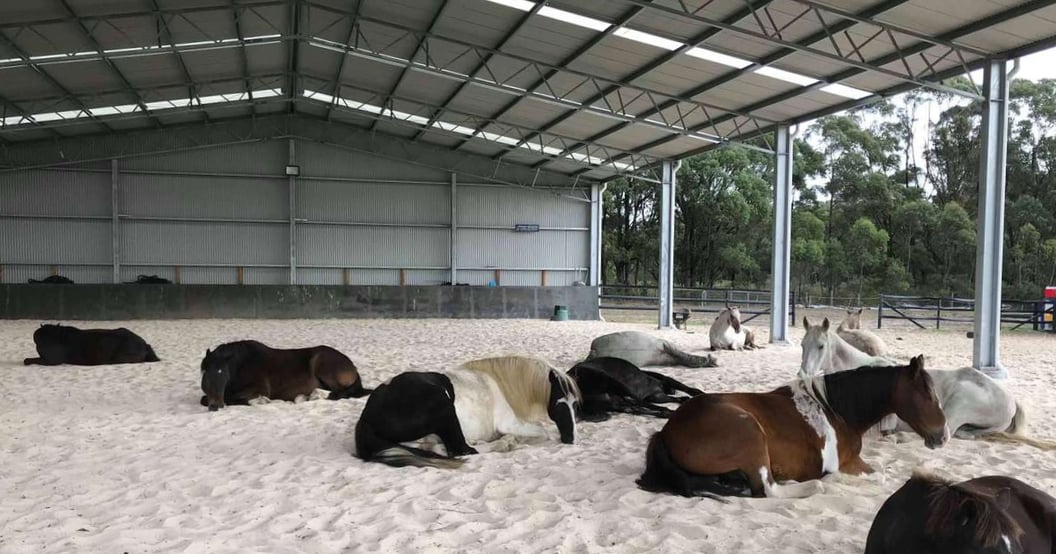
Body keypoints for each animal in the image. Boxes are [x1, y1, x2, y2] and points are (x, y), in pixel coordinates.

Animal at [199, 340, 369, 411]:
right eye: (206, 374)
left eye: (223, 374)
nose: (215, 406)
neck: (242, 365)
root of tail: (351, 365)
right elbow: (204, 399)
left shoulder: (258, 389)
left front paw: (262, 401)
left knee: (342, 392)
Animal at [355, 355, 582, 469]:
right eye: (560, 403)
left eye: (575, 404)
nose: (571, 439)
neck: (501, 384)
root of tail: (366, 417)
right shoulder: (510, 423)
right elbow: (544, 432)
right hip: (444, 406)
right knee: (462, 449)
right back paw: (504, 443)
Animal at [567, 357, 703, 419]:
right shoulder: (661, 384)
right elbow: (683, 388)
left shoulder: (656, 395)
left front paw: (684, 398)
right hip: (616, 385)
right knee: (641, 405)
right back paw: (670, 412)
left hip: (614, 400)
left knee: (635, 408)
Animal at [636, 355, 948, 500]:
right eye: (926, 393)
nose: (943, 435)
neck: (836, 410)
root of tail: (667, 430)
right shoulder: (849, 463)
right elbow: (882, 476)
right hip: (751, 433)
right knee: (768, 489)